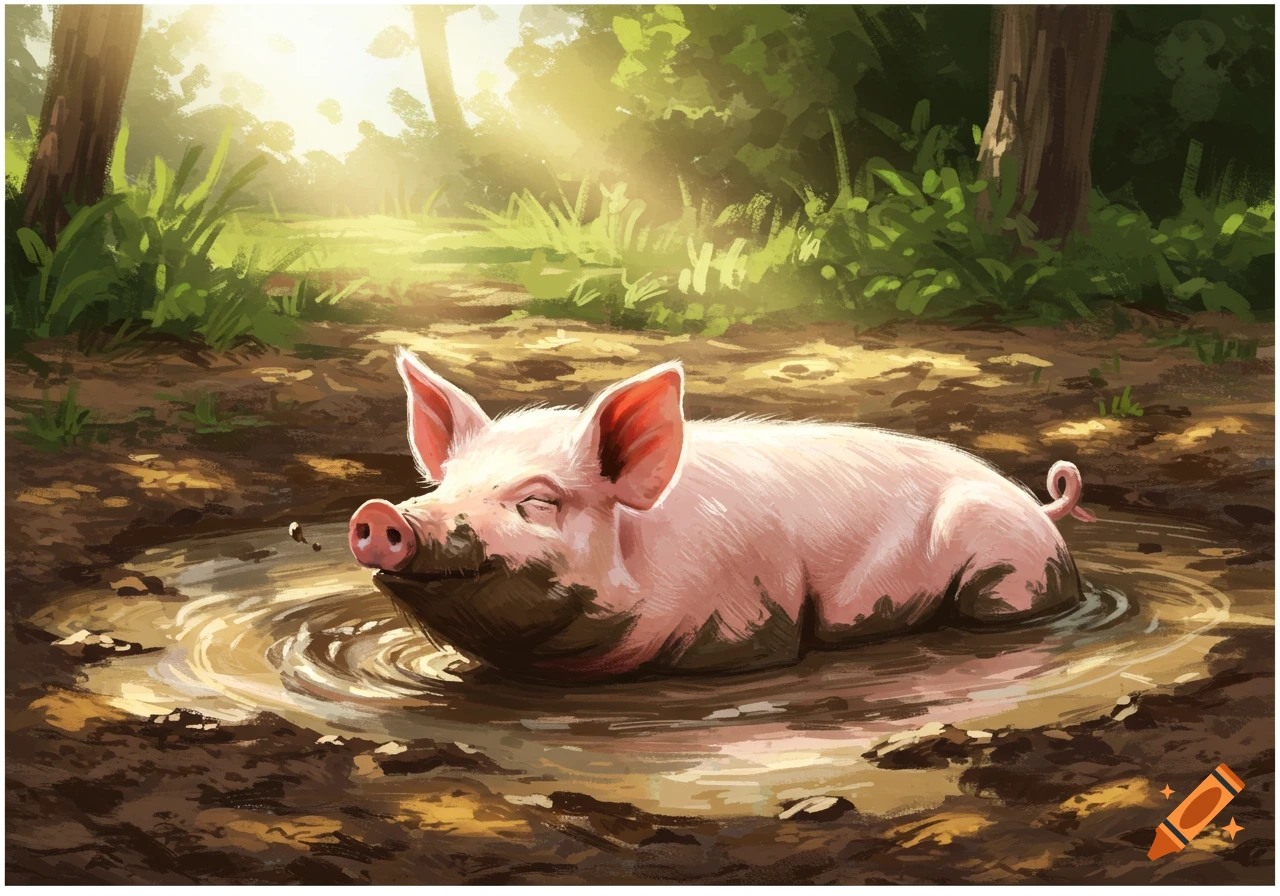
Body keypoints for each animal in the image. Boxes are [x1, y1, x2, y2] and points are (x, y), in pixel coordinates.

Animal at [351, 348, 1096, 680]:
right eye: (444, 484)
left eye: (537, 500)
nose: (385, 514)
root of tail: (1038, 502)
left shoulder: (750, 618)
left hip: (1010, 569)